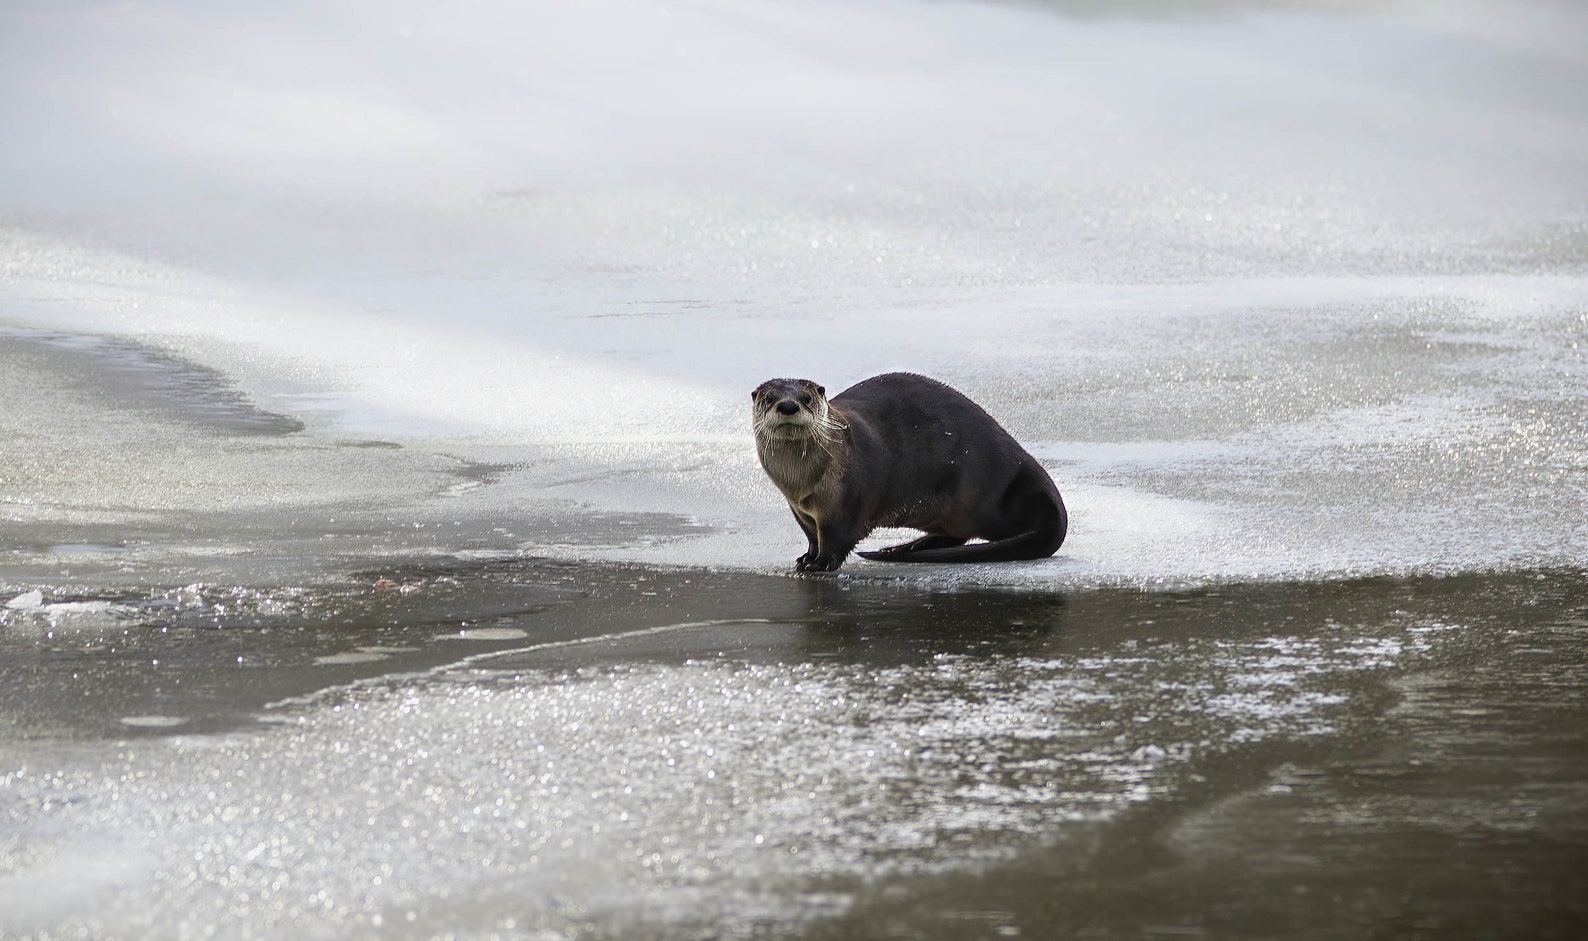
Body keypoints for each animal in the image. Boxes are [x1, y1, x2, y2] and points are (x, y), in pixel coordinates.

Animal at [751, 372, 1067, 572]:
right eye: (768, 398)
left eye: (806, 398)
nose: (788, 405)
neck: (803, 485)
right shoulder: (799, 509)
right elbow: (813, 536)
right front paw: (807, 557)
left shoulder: (846, 502)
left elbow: (838, 538)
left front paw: (818, 564)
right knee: (955, 536)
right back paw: (905, 548)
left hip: (981, 491)